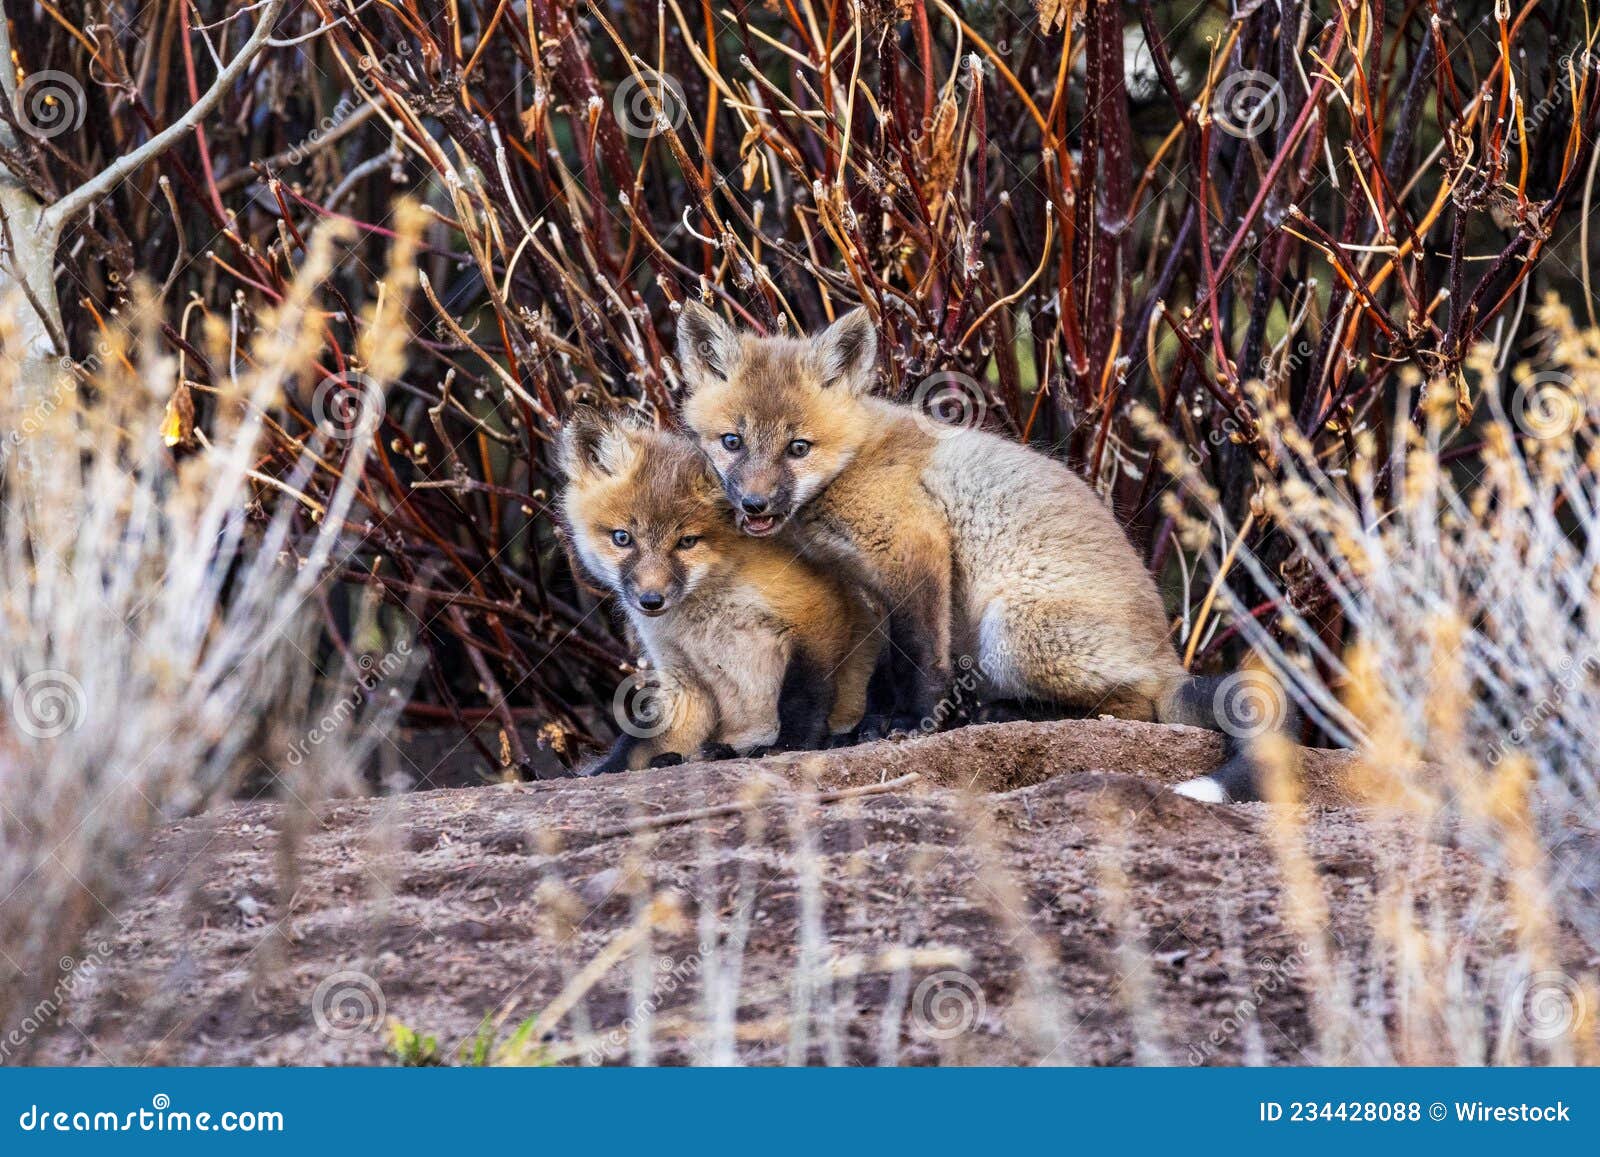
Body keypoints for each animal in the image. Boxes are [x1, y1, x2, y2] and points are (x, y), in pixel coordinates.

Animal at [558, 406, 882, 774]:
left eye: (687, 542)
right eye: (622, 538)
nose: (651, 600)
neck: (706, 617)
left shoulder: (815, 610)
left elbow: (801, 696)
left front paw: (790, 745)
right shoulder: (681, 677)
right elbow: (639, 742)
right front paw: (608, 770)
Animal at [676, 301, 1293, 802]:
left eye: (798, 448)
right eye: (732, 442)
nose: (753, 504)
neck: (853, 463)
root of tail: (1169, 656)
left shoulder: (917, 548)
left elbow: (919, 659)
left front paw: (910, 724)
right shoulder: (868, 590)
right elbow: (880, 673)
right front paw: (860, 729)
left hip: (1012, 634)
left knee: (1135, 711)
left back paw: (1009, 714)